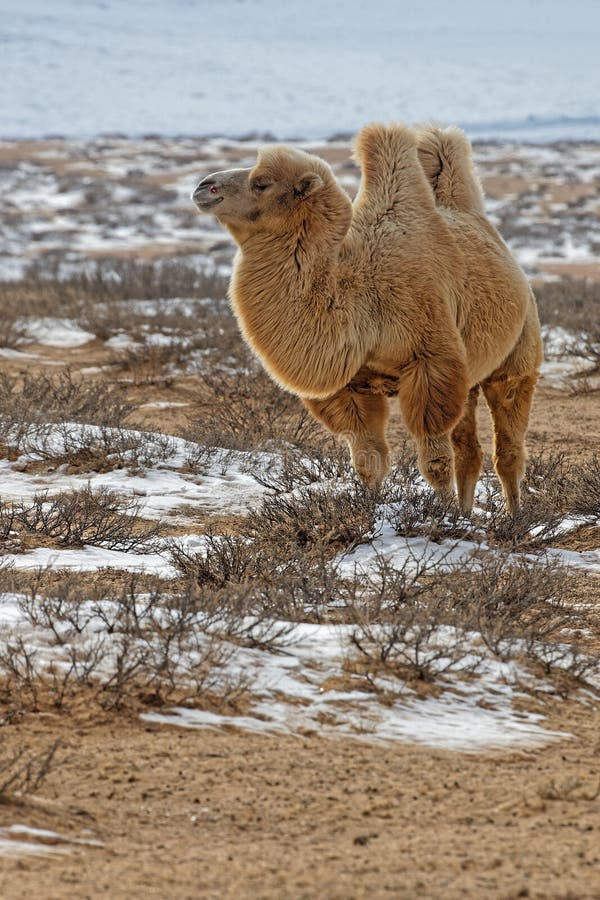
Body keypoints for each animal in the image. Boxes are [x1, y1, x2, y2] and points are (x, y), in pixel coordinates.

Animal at [192, 123, 542, 515]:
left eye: (261, 182)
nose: (204, 186)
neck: (360, 295)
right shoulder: (354, 385)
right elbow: (368, 460)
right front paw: (370, 512)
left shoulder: (431, 364)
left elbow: (434, 460)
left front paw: (443, 517)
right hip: (467, 379)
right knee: (469, 448)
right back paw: (470, 513)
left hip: (517, 356)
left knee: (507, 444)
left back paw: (512, 517)